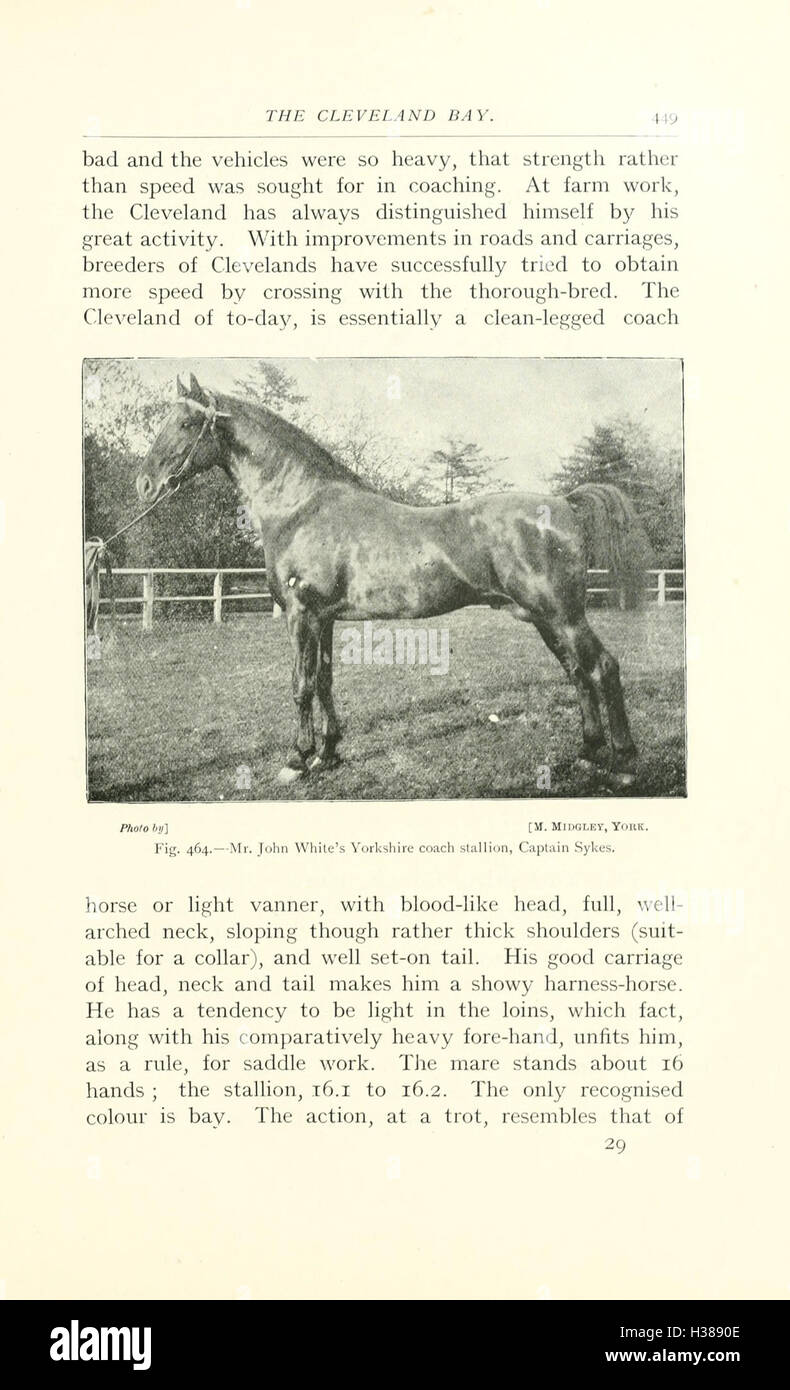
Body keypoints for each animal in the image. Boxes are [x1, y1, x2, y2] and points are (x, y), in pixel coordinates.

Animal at [135, 373, 650, 790]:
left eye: (186, 424)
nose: (144, 484)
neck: (301, 506)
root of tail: (564, 503)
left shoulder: (302, 614)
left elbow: (301, 684)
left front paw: (297, 760)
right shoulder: (325, 618)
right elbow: (325, 681)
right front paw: (328, 753)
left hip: (563, 615)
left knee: (603, 668)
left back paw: (625, 763)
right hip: (543, 618)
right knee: (578, 673)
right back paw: (588, 754)